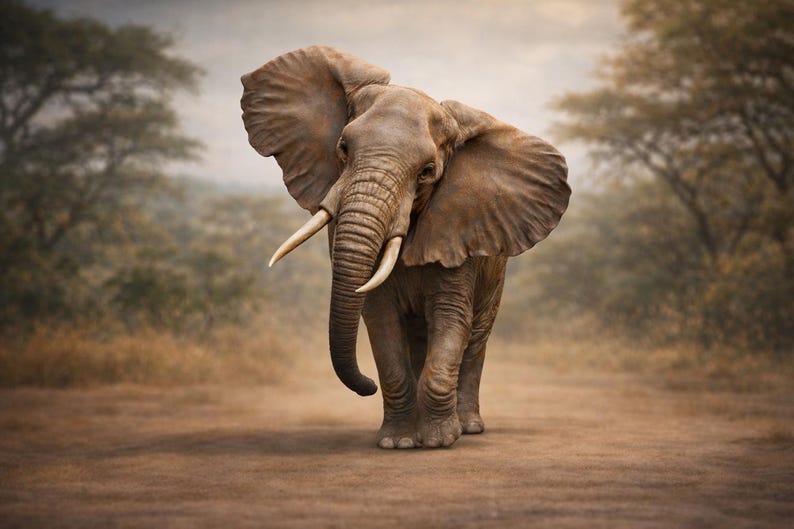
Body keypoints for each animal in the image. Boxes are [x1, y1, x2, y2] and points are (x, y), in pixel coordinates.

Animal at [240, 46, 570, 449]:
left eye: (427, 171)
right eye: (343, 148)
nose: (364, 387)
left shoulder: (459, 231)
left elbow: (450, 319)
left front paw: (441, 441)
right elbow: (382, 324)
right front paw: (397, 443)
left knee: (475, 339)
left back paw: (470, 427)